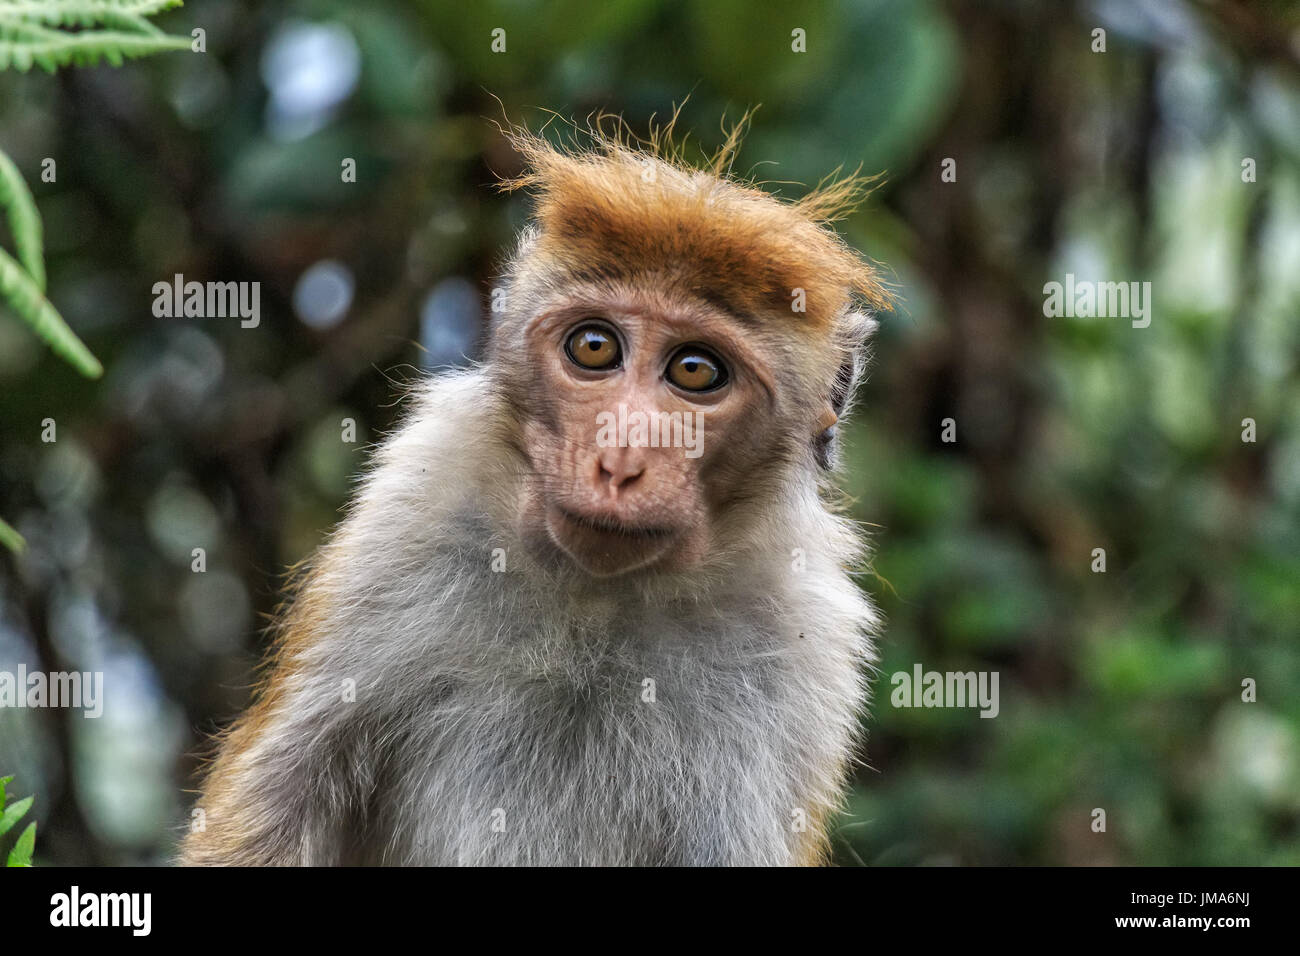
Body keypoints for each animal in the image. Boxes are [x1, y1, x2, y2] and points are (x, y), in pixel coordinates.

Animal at [180, 117, 892, 866]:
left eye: (696, 370)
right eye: (594, 348)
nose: (618, 460)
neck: (599, 597)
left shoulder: (805, 638)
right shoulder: (413, 507)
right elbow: (280, 798)